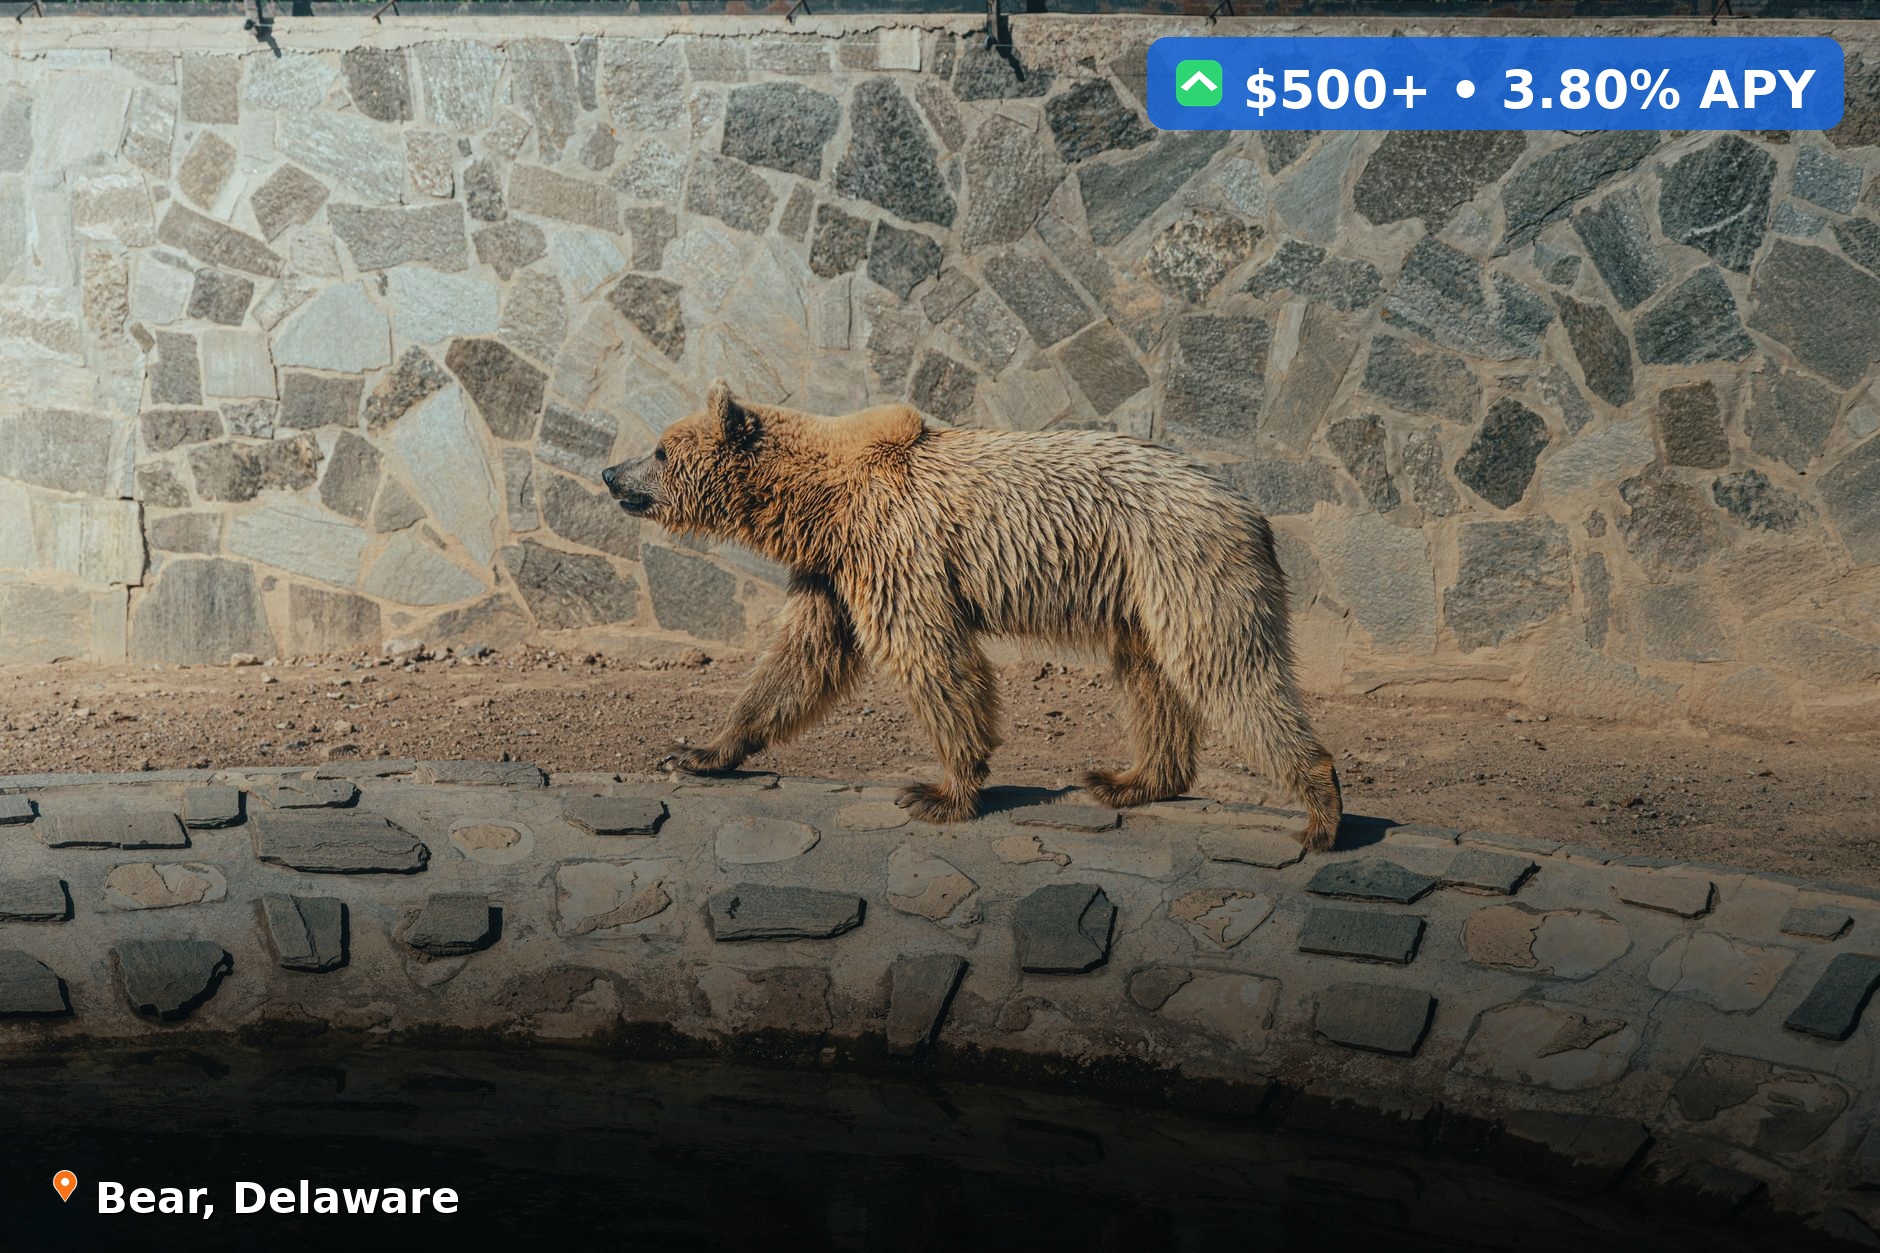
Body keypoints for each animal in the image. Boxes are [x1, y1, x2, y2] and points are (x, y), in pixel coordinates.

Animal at [602, 382, 1343, 851]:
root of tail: (1252, 511)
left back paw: (1319, 808)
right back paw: (1128, 779)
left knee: (1227, 669)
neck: (818, 501)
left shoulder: (894, 545)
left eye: (661, 448)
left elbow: (930, 656)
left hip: (1184, 566)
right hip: (1142, 597)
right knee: (1152, 678)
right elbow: (799, 660)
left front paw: (940, 790)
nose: (611, 474)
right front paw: (698, 751)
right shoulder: (832, 571)